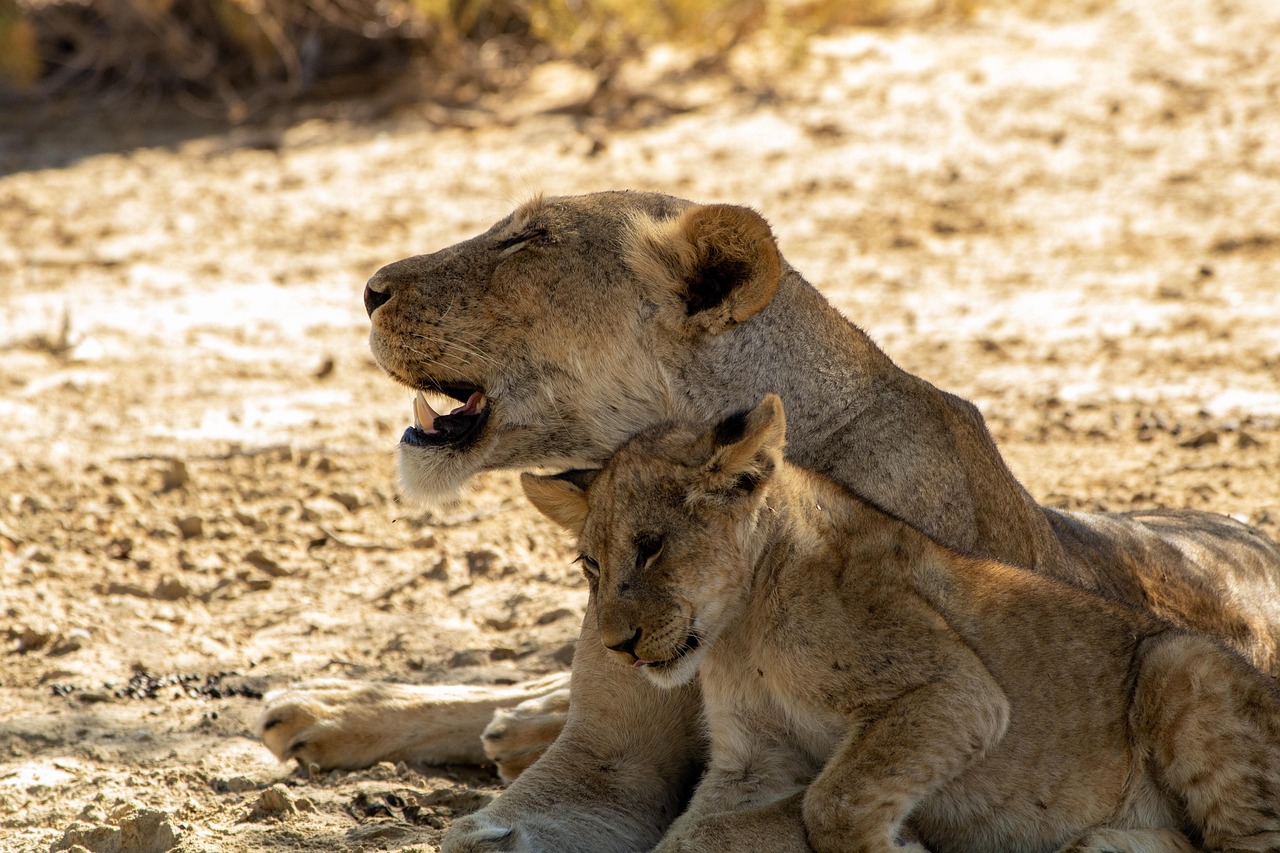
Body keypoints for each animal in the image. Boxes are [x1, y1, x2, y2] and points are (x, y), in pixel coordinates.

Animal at [522, 395, 1280, 853]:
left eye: (651, 545)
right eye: (591, 563)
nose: (616, 646)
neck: (742, 630)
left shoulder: (954, 692)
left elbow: (833, 799)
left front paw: (898, 845)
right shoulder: (753, 757)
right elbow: (692, 835)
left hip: (1183, 662)